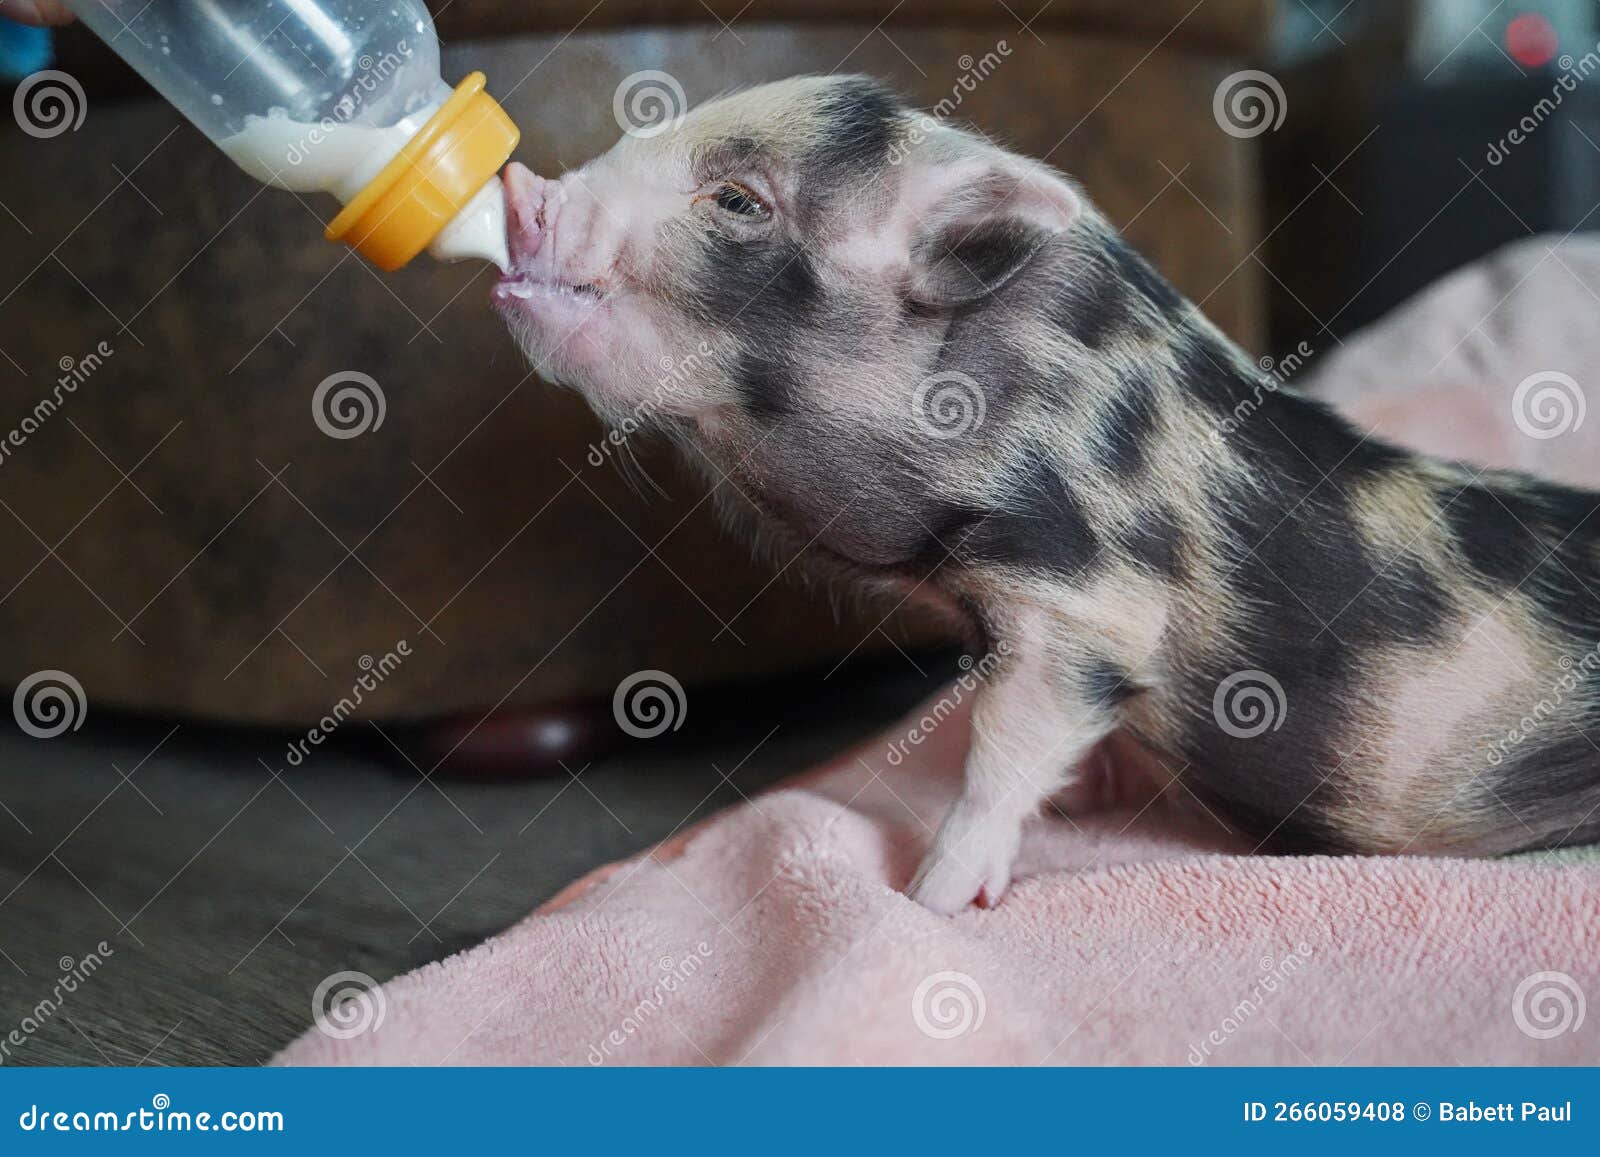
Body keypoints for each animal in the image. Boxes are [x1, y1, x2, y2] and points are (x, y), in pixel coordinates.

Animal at [492, 75, 1600, 914]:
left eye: (738, 201)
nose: (516, 182)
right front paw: (1081, 802)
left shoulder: (1086, 600)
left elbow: (1003, 742)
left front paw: (932, 897)